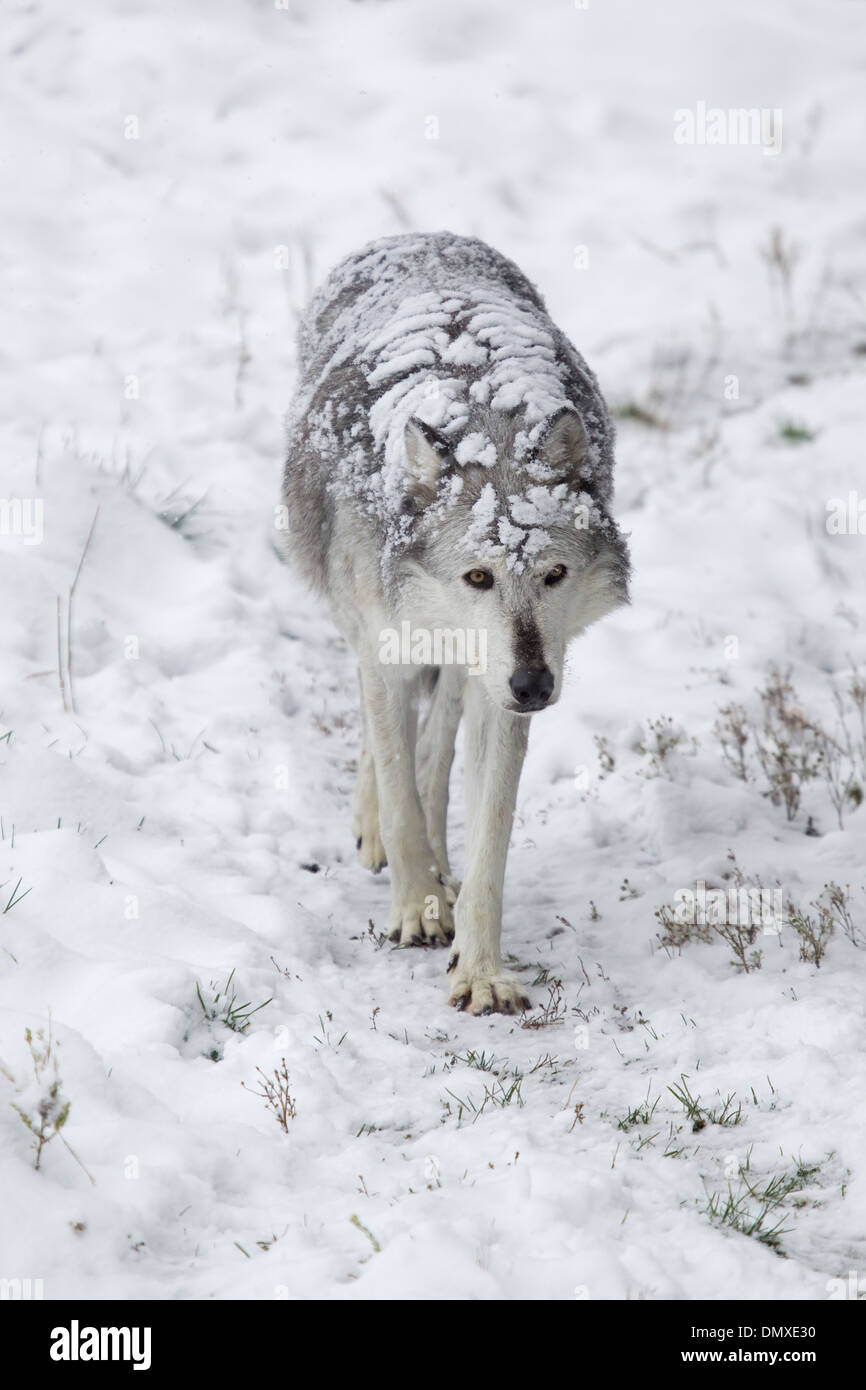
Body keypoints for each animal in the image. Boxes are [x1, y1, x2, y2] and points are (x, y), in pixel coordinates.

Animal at [282, 232, 630, 1014]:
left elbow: (486, 838)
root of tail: (419, 237)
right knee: (391, 747)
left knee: (435, 748)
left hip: (471, 668)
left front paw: (480, 968)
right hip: (382, 636)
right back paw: (379, 836)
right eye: (478, 577)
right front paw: (415, 908)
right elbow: (400, 796)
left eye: (553, 576)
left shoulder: (499, 695)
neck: (484, 421)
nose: (534, 686)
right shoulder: (386, 646)